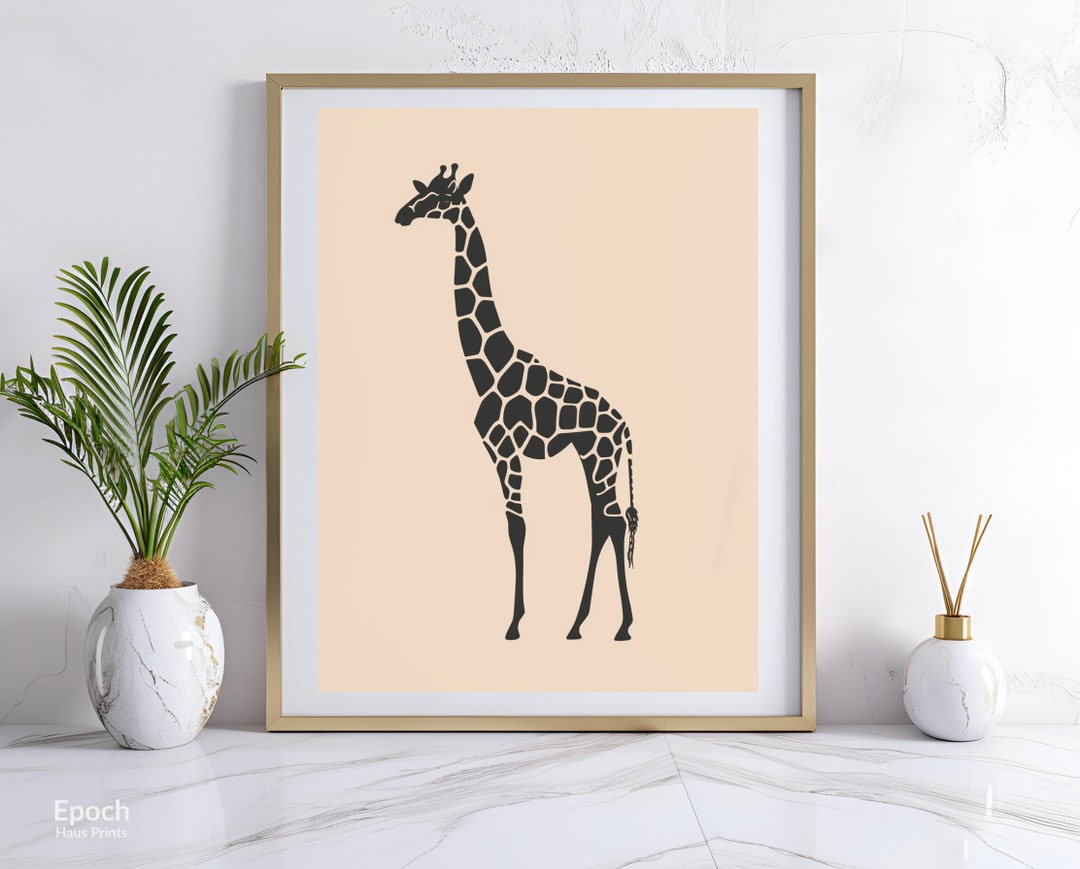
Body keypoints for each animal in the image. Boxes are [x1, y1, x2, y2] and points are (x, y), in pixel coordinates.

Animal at [395, 164, 640, 642]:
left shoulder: (505, 451)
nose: (402, 214)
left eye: (442, 197)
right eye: (423, 190)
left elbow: (517, 527)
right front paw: (521, 619)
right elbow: (519, 527)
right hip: (590, 457)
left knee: (613, 520)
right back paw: (579, 624)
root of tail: (625, 427)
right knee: (604, 520)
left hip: (600, 458)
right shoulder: (503, 452)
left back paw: (619, 626)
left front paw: (513, 623)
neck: (488, 367)